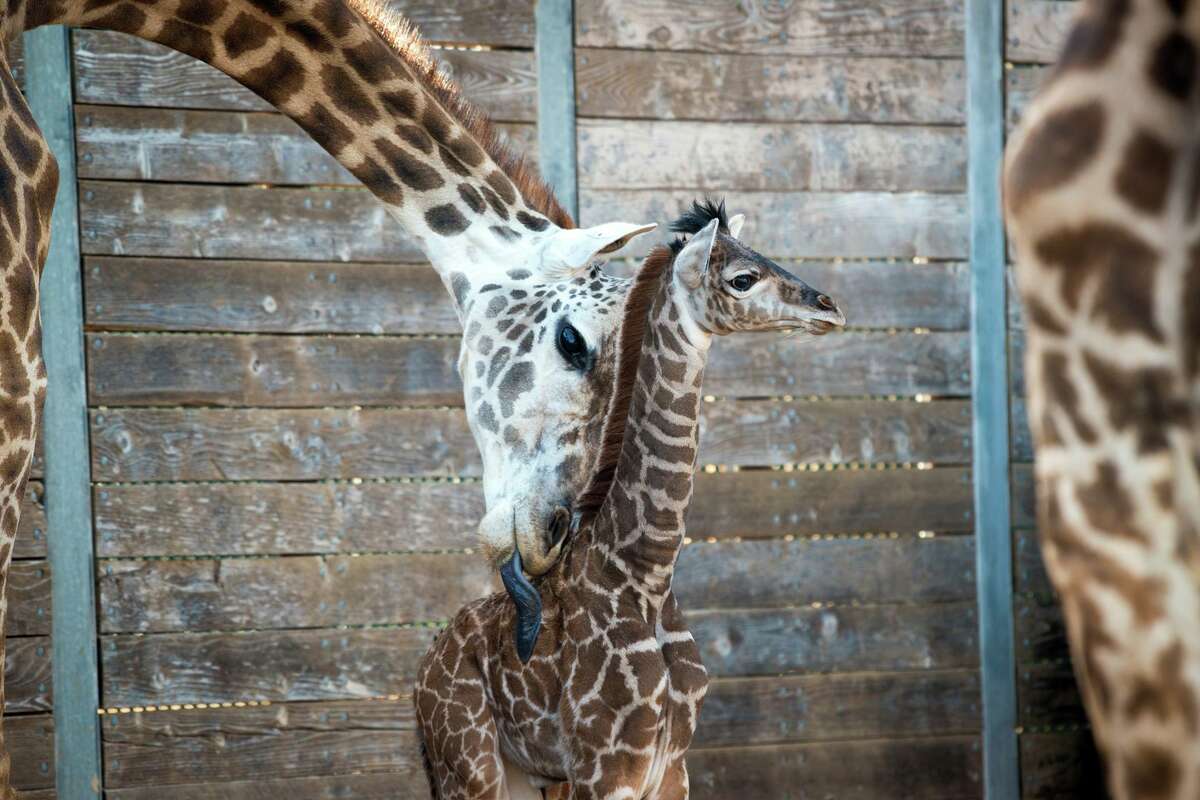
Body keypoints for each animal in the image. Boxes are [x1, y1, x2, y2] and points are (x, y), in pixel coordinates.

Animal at [413, 201, 846, 800]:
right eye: (743, 278)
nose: (830, 308)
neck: (647, 570)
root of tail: (420, 678)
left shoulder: (671, 766)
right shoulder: (605, 768)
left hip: (524, 775)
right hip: (471, 767)